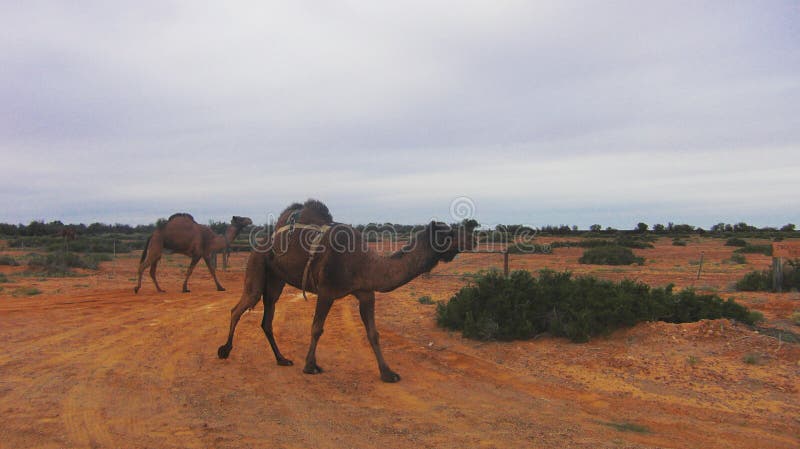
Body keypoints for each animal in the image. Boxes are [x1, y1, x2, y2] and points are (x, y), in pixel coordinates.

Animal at [217, 200, 476, 382]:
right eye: (448, 233)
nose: (472, 239)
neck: (364, 262)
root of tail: (261, 242)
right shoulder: (326, 291)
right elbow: (316, 329)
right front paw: (310, 366)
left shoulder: (366, 293)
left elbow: (373, 333)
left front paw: (388, 373)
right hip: (257, 265)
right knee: (239, 307)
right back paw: (224, 350)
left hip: (276, 280)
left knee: (267, 318)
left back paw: (282, 359)